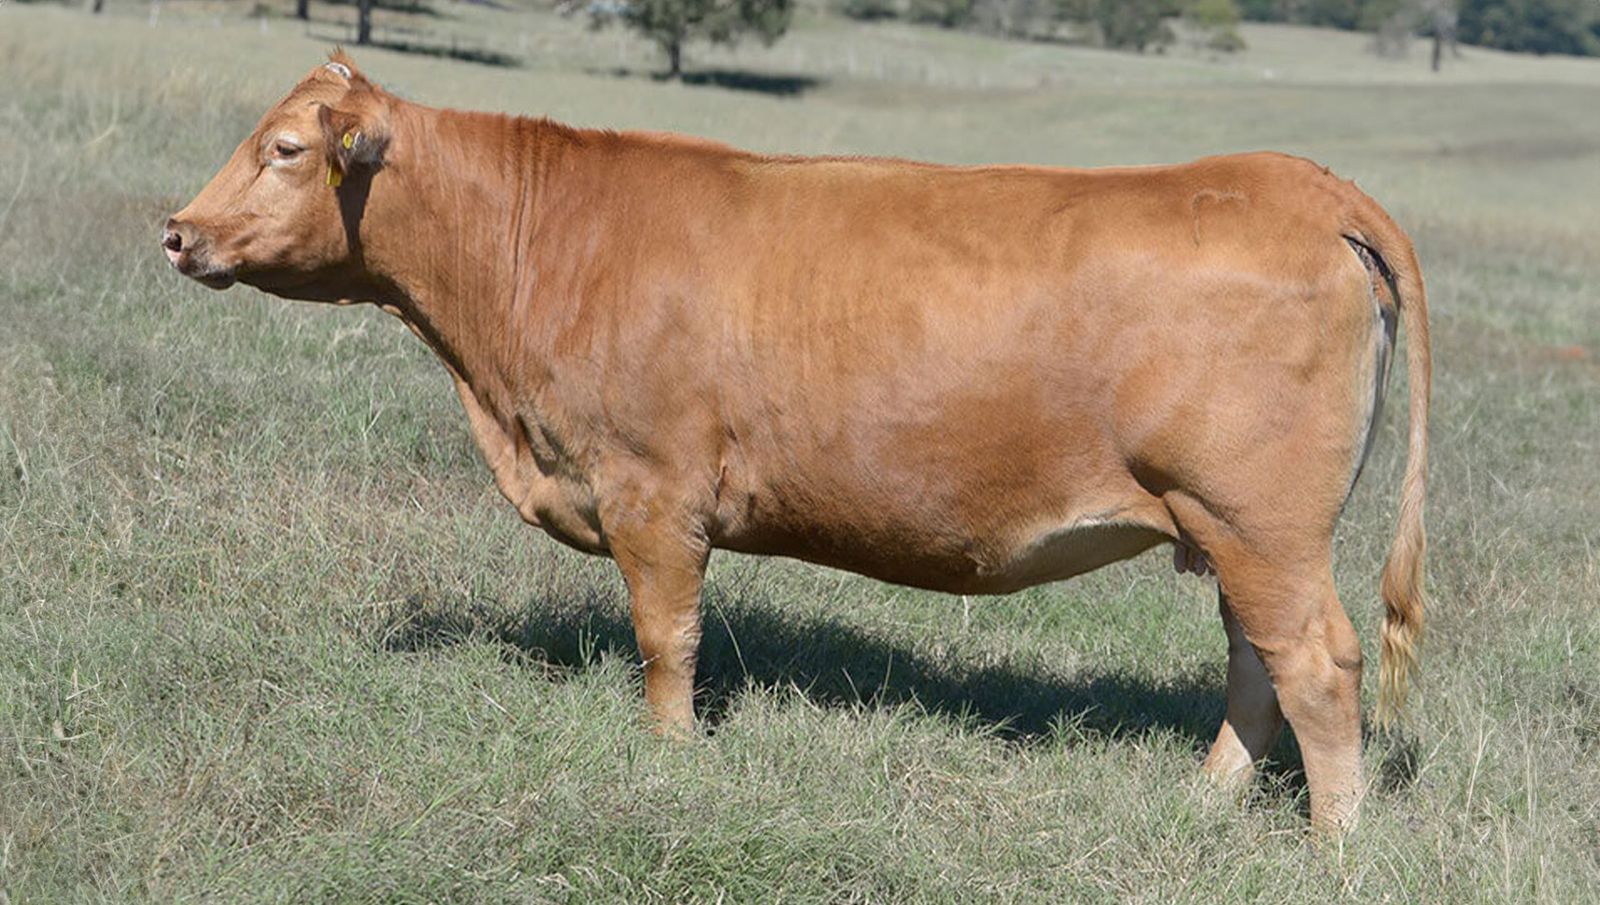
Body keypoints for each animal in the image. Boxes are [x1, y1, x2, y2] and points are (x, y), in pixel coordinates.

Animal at [163, 54, 1429, 831]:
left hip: (1261, 520)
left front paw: (671, 760)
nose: (177, 231)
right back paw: (1201, 800)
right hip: (1230, 531)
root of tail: (1295, 181)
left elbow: (666, 640)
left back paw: (1332, 841)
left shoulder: (652, 492)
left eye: (284, 149)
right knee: (1257, 667)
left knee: (1317, 663)